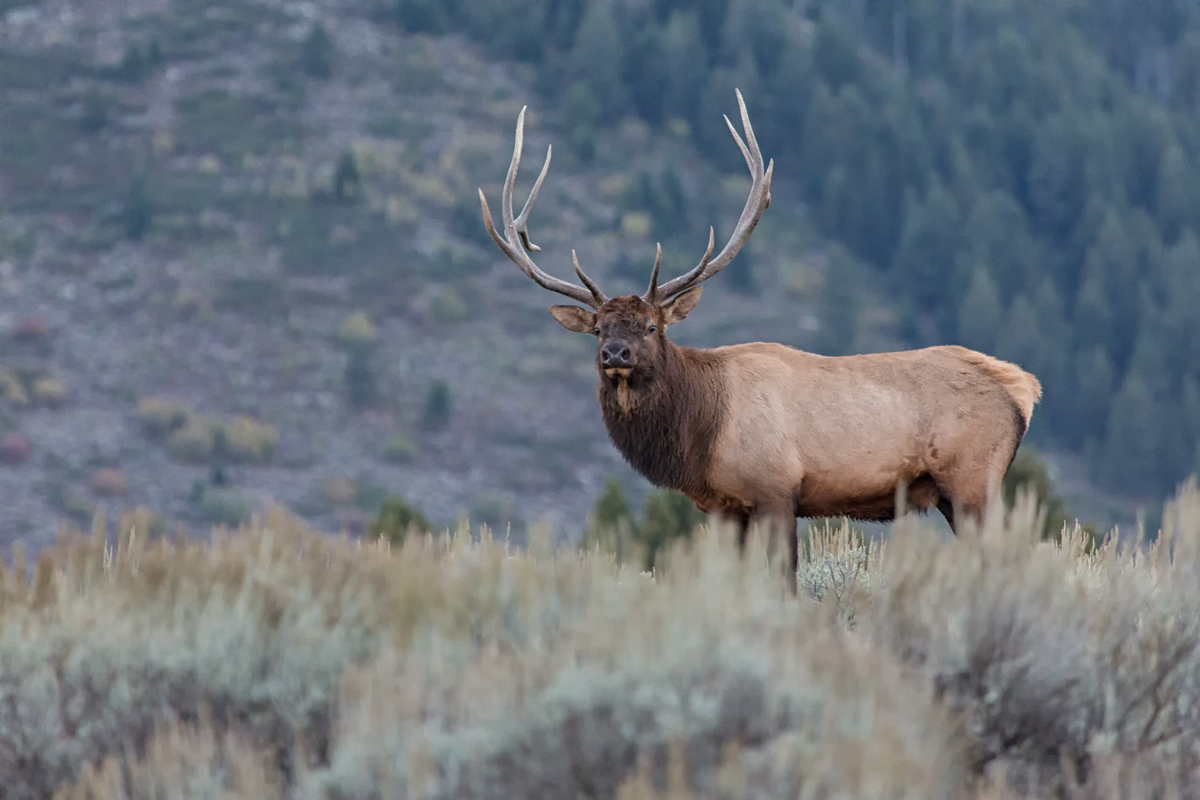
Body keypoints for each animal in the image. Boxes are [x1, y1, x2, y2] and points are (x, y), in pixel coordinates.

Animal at [479, 91, 1042, 593]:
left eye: (653, 326)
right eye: (598, 328)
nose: (615, 354)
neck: (699, 431)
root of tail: (1023, 389)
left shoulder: (776, 489)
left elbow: (785, 583)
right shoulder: (725, 508)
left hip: (972, 479)